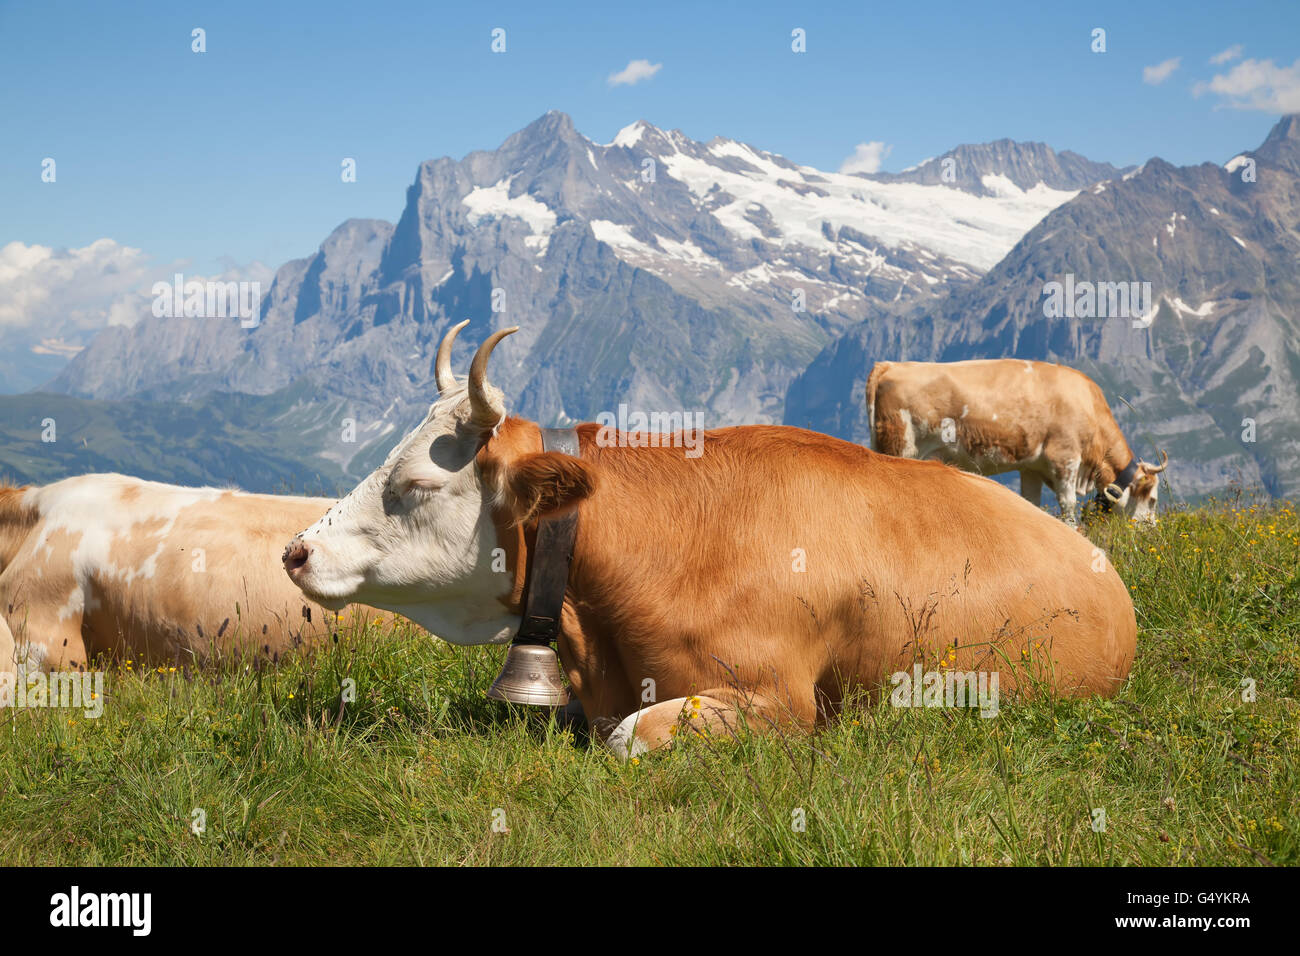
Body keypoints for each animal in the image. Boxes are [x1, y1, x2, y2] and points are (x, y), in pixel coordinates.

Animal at [866, 359, 1168, 525]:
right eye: (1153, 500)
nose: (1152, 531)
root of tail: (890, 365)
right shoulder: (1065, 458)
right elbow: (1068, 507)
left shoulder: (1032, 468)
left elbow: (1032, 503)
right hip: (900, 444)